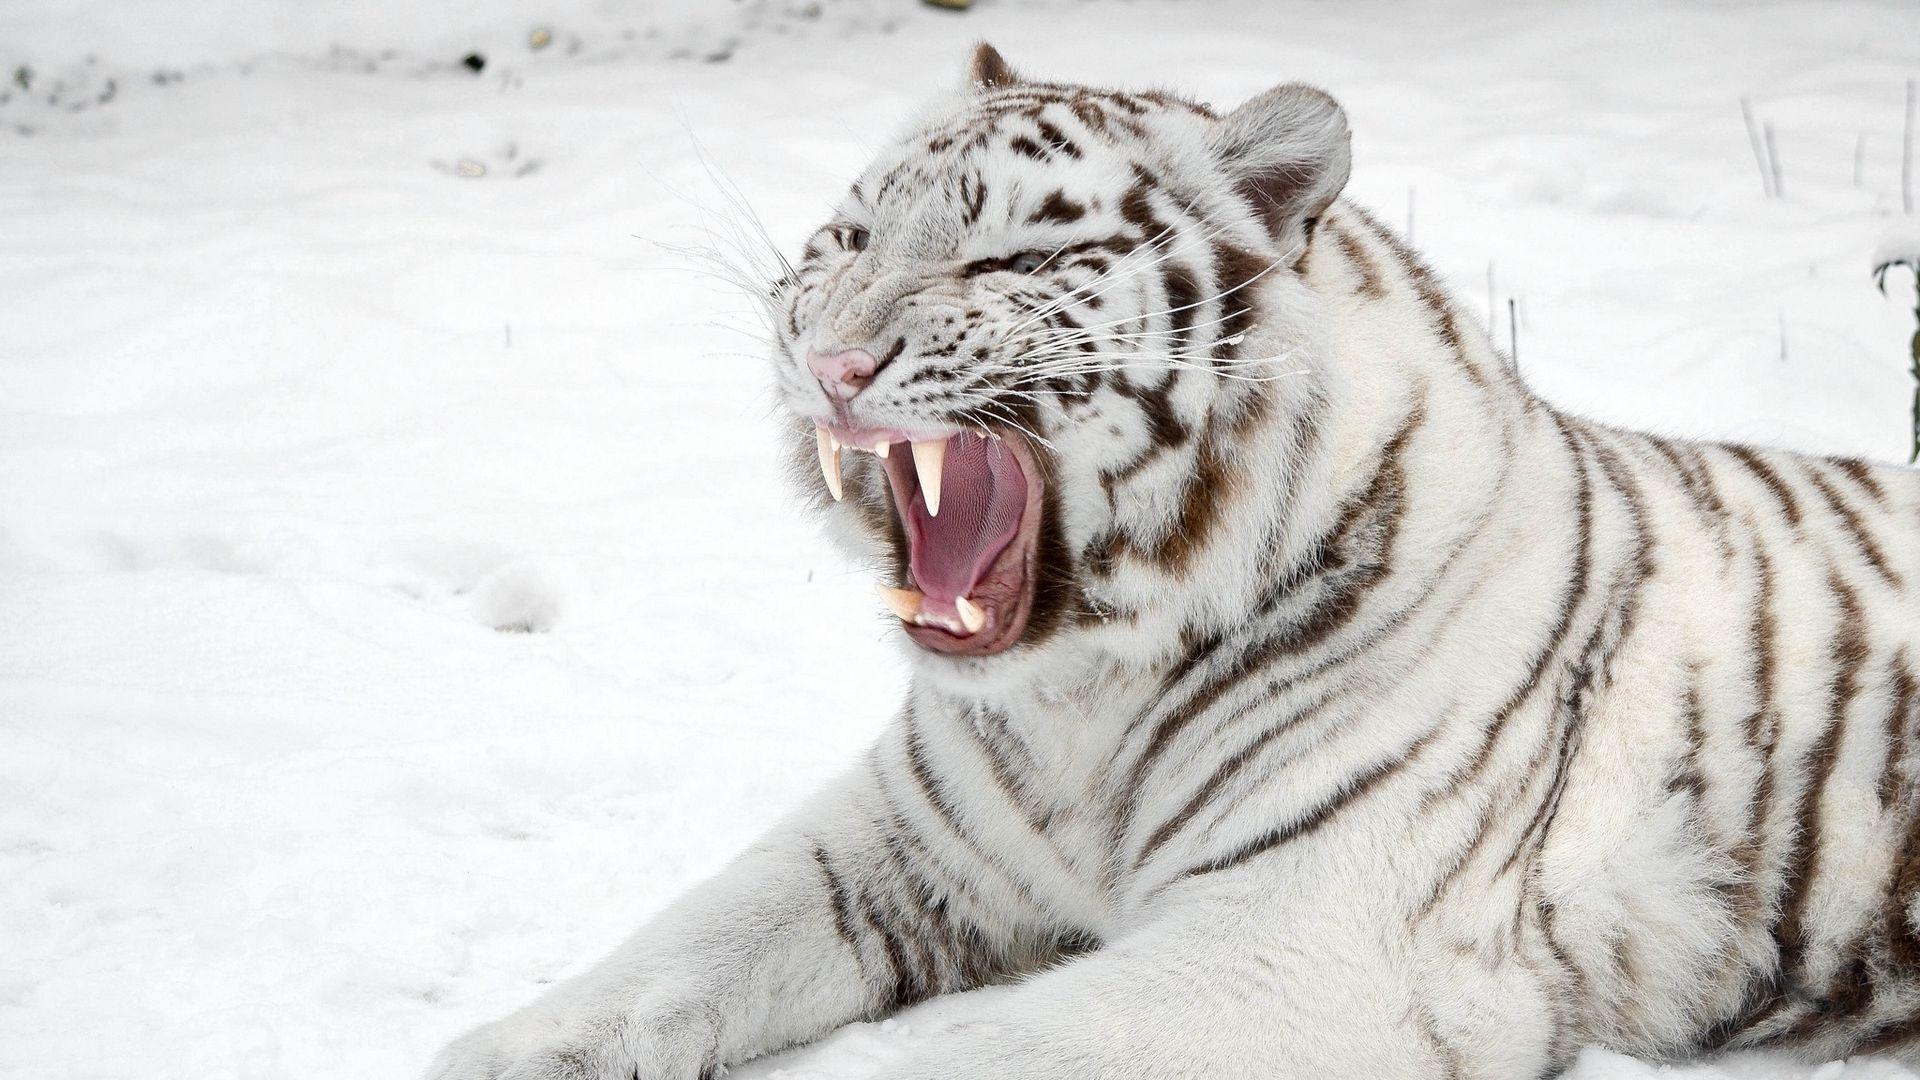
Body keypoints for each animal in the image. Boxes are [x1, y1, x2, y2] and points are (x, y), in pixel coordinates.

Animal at [427, 43, 1920, 1080]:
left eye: (1007, 257)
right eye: (843, 240)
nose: (831, 361)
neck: (1081, 694)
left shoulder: (1304, 937)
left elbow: (964, 1061)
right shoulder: (899, 840)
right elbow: (676, 951)